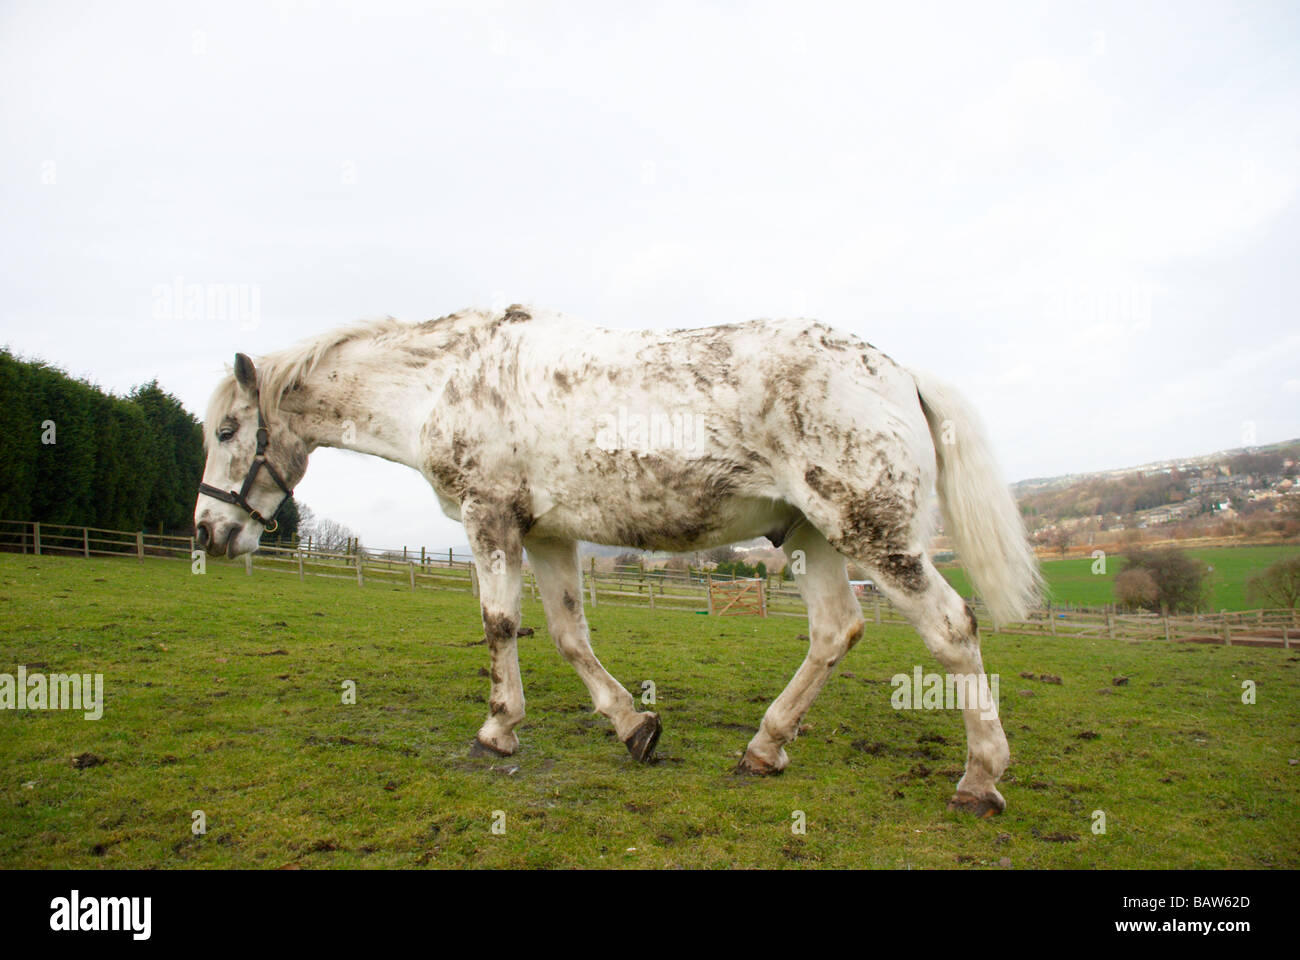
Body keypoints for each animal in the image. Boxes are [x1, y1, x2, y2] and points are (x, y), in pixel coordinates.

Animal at [194, 304, 1040, 816]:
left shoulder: (490, 519)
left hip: (868, 532)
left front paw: (497, 729)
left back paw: (979, 779)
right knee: (836, 631)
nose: (206, 532)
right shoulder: (547, 535)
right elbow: (570, 635)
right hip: (810, 535)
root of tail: (899, 372)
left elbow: (497, 623)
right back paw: (763, 748)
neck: (443, 382)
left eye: (230, 430)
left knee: (952, 628)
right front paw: (634, 726)